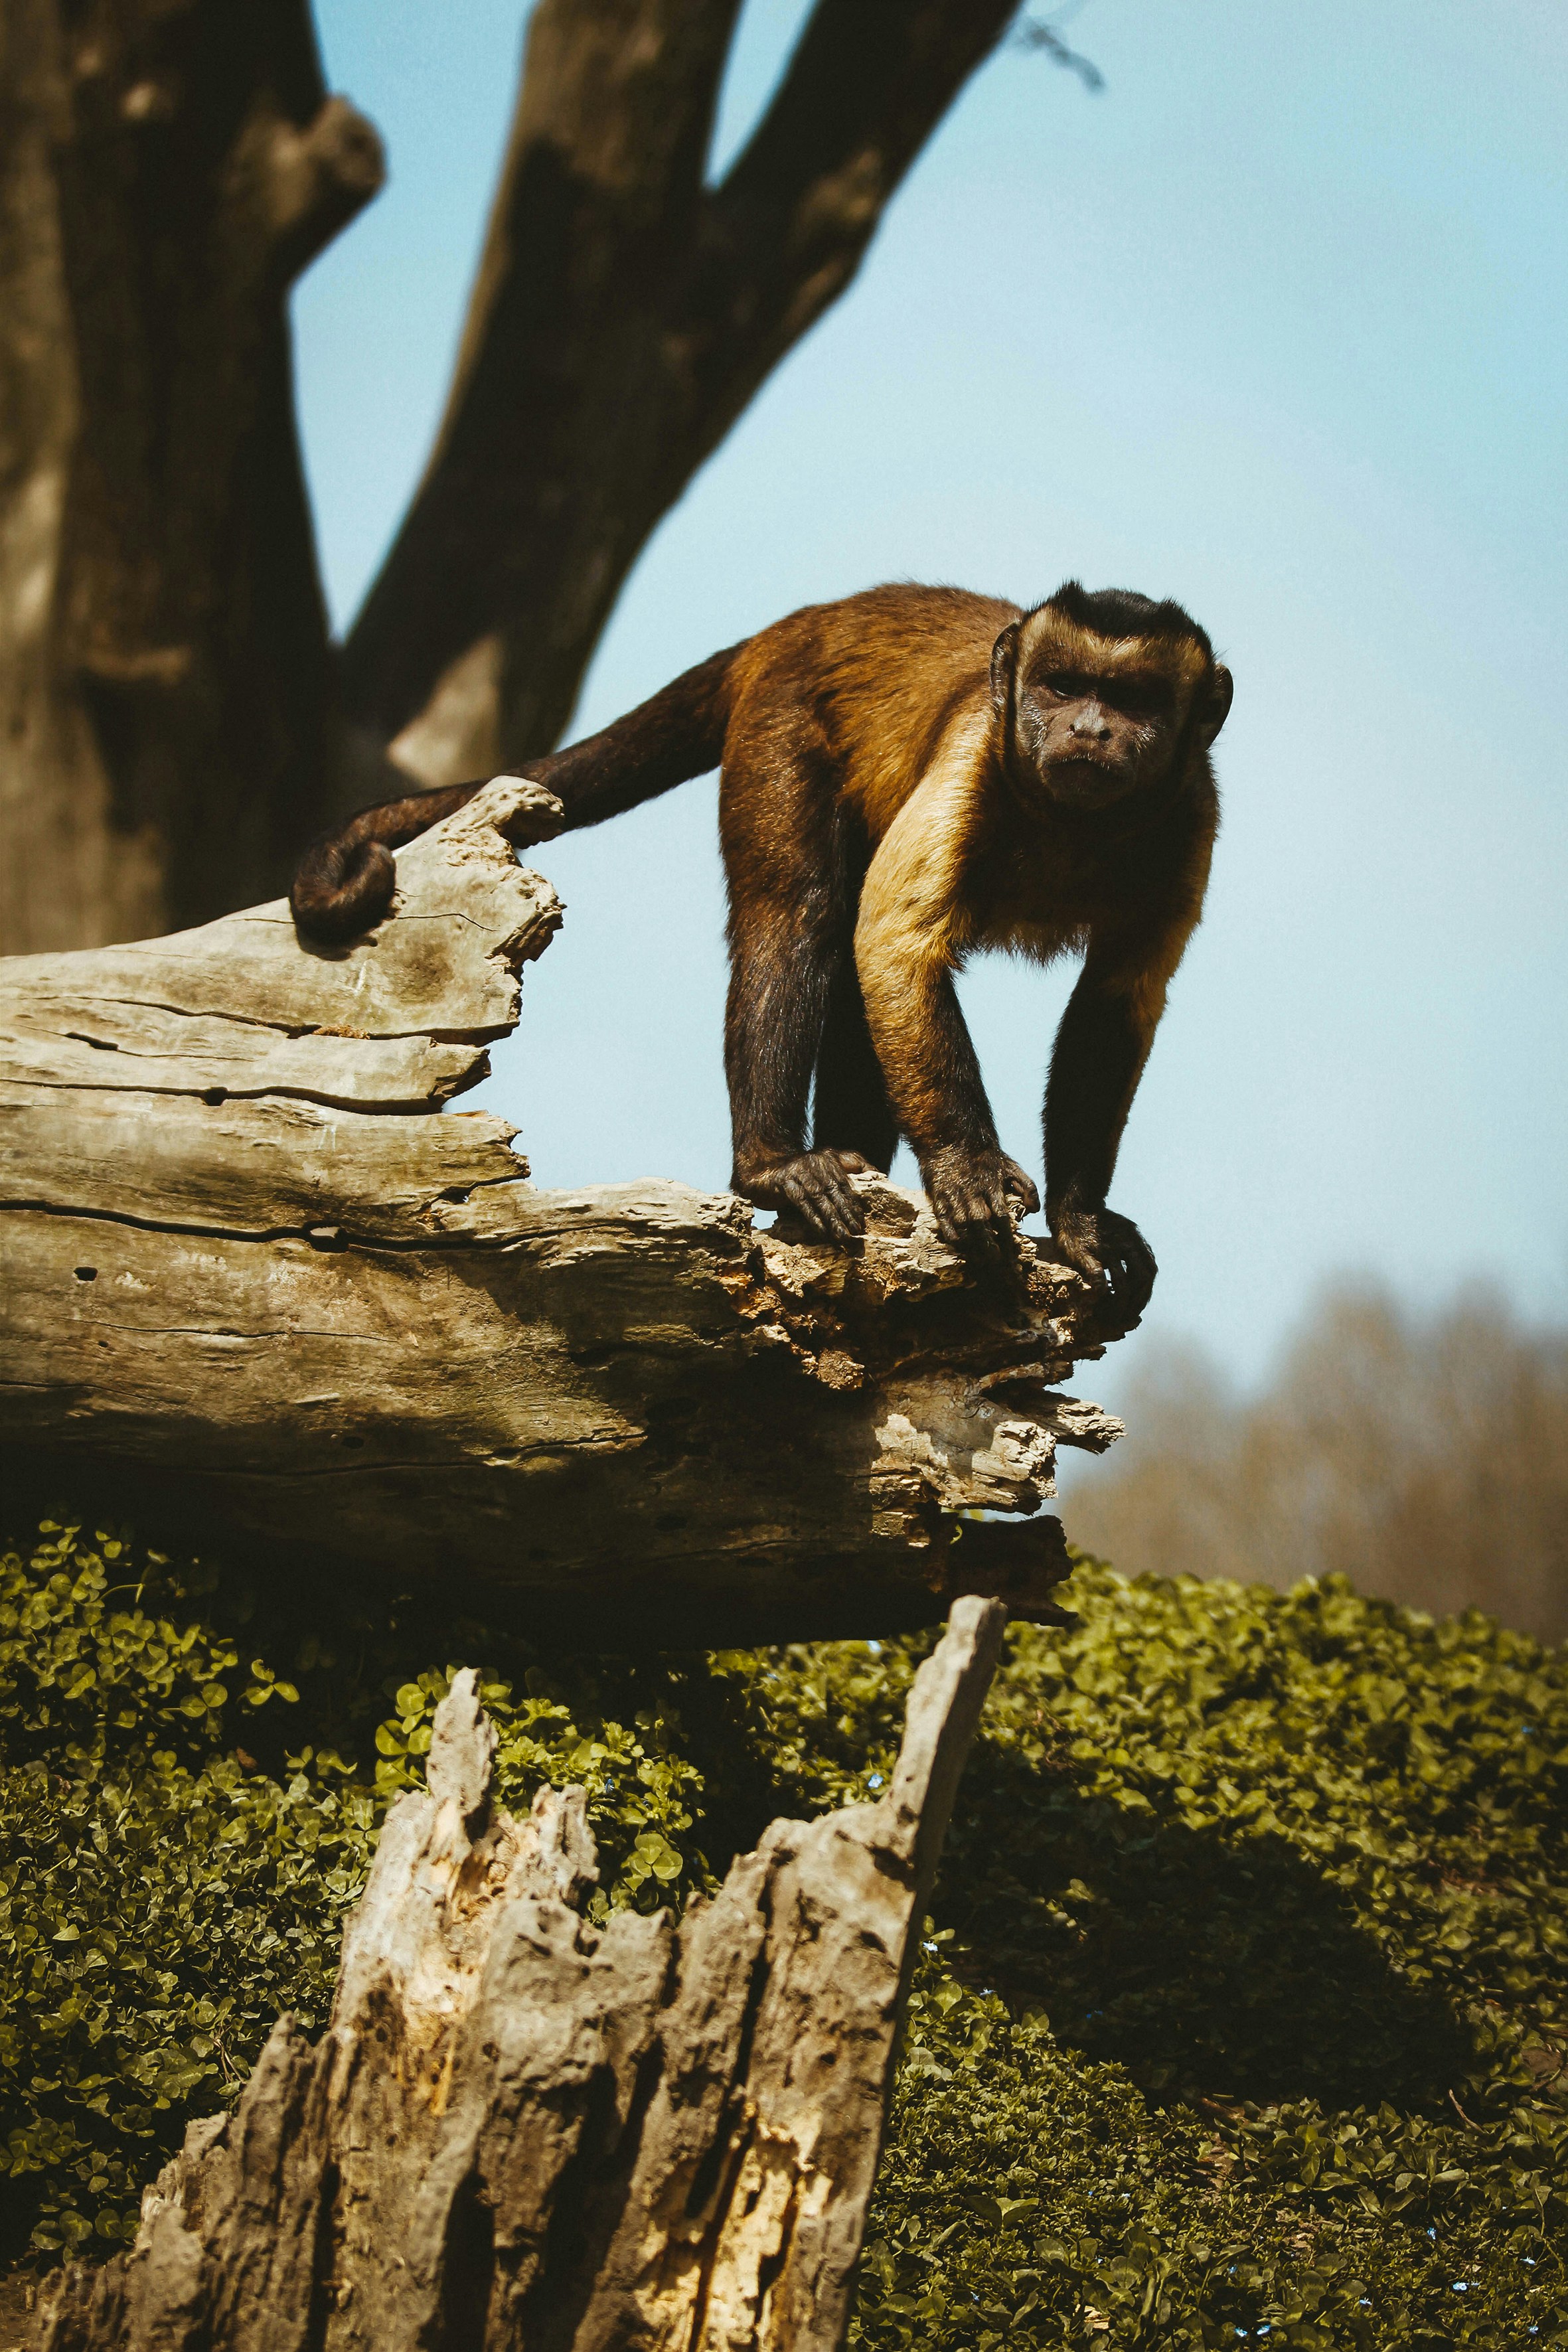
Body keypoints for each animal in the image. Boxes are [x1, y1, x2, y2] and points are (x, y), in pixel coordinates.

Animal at [292, 582, 1232, 1322]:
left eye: (1137, 700)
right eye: (1063, 685)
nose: (1089, 728)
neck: (1070, 826)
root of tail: (800, 623)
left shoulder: (1193, 811)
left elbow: (1115, 1000)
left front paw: (1080, 1218)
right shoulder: (973, 754)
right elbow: (894, 947)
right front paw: (966, 1165)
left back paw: (855, 1160)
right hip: (779, 717)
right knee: (800, 916)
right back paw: (775, 1166)